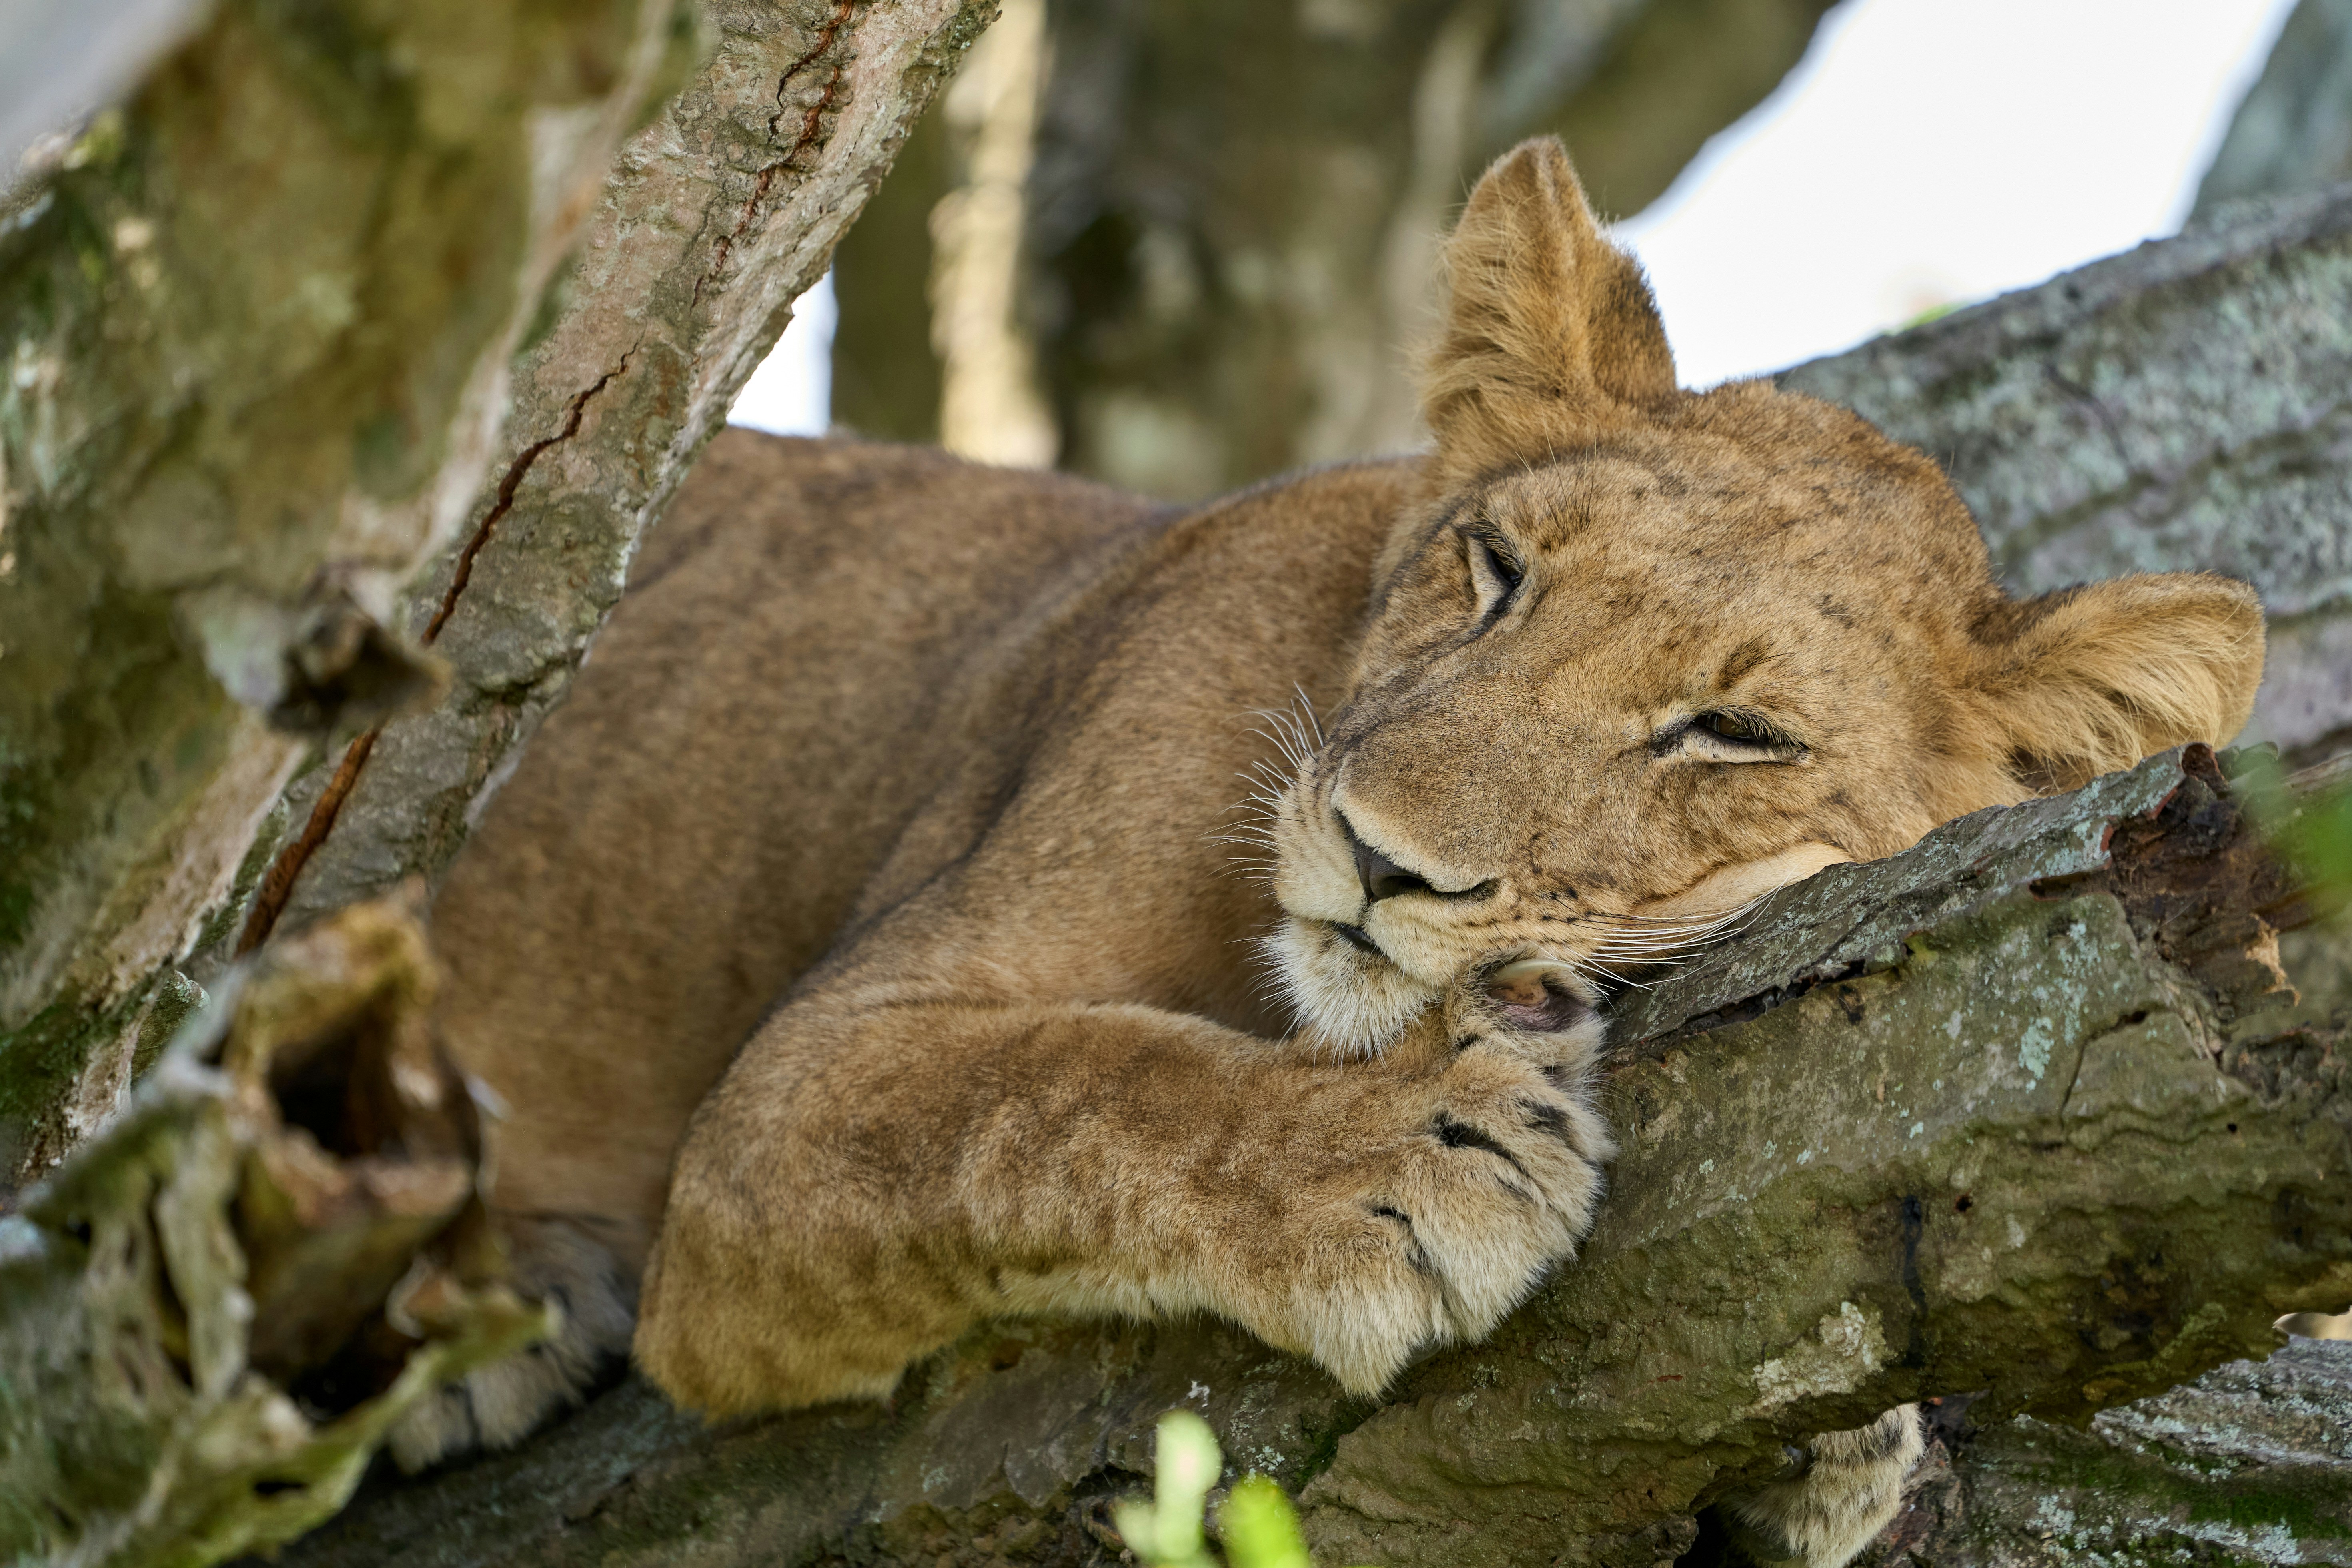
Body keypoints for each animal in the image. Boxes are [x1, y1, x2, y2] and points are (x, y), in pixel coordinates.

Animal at [393, 139, 2264, 1567]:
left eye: (1731, 732)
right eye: (1495, 567)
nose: (1381, 860)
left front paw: (1845, 1440)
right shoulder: (779, 1112)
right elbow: (1057, 1090)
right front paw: (1402, 1149)